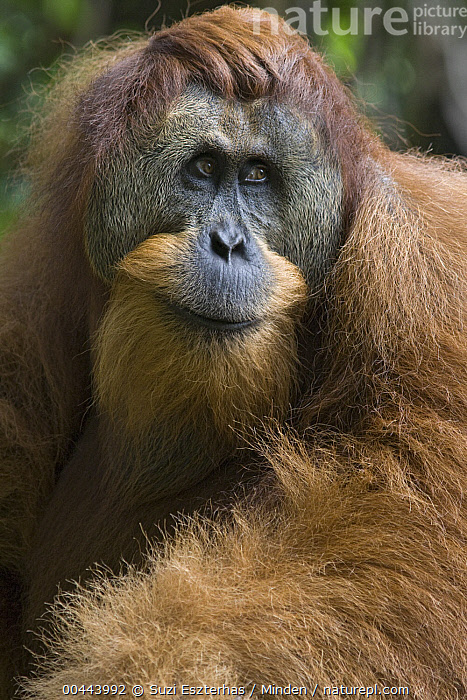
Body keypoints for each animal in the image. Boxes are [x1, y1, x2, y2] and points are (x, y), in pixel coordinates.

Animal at [0, 6, 465, 699]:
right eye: (202, 168)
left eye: (256, 176)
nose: (226, 242)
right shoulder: (31, 316)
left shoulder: (426, 287)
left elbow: (394, 553)